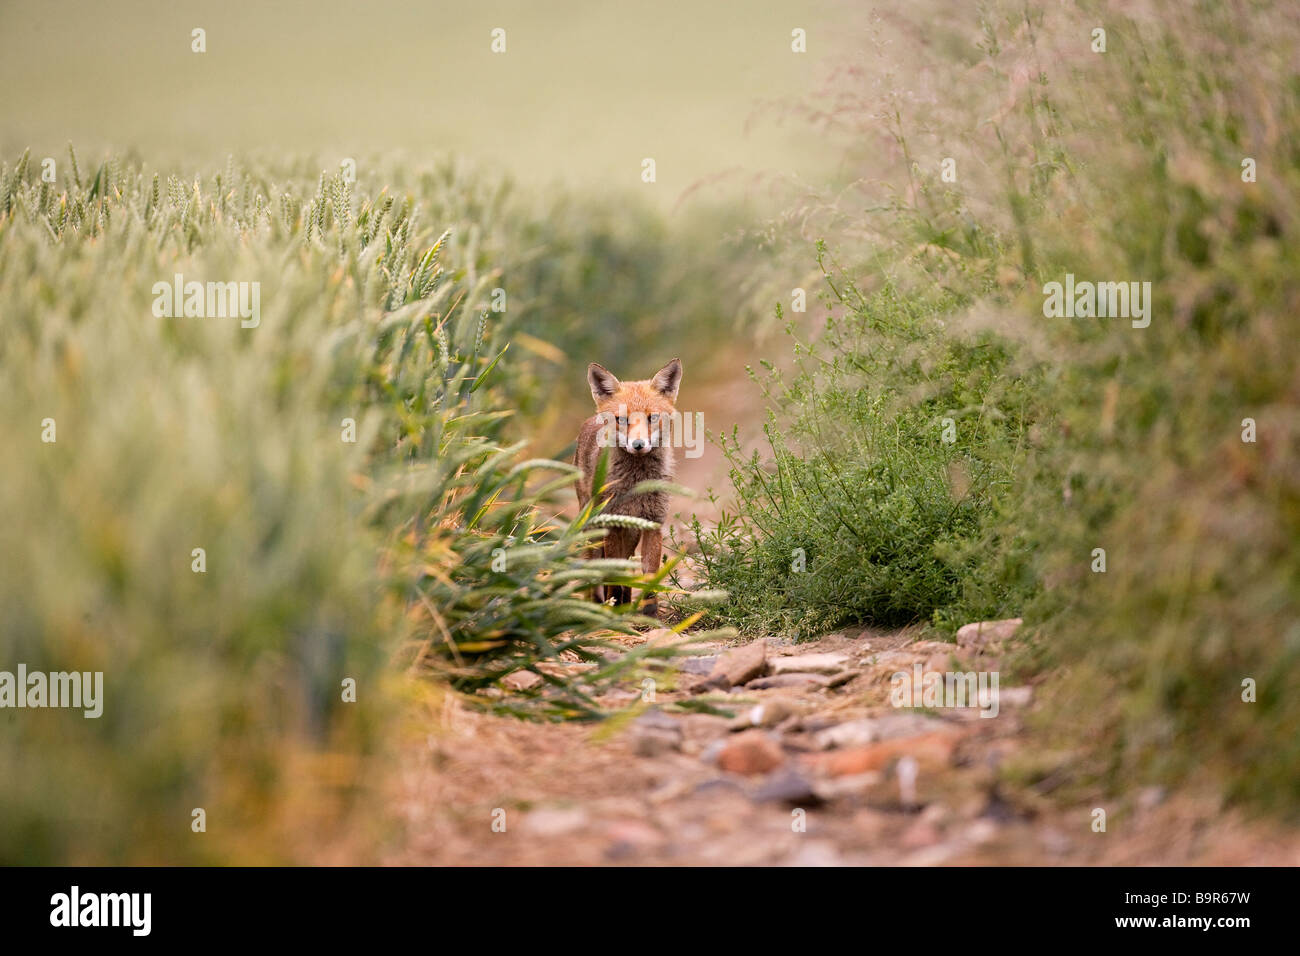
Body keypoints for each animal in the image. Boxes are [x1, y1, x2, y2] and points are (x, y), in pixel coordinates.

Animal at [574, 358, 682, 618]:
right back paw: (597, 604)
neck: (636, 482)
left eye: (652, 418)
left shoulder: (653, 522)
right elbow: (612, 574)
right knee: (596, 566)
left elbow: (649, 573)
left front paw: (649, 613)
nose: (638, 444)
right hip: (593, 525)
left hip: (631, 532)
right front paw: (613, 609)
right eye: (621, 419)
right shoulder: (612, 524)